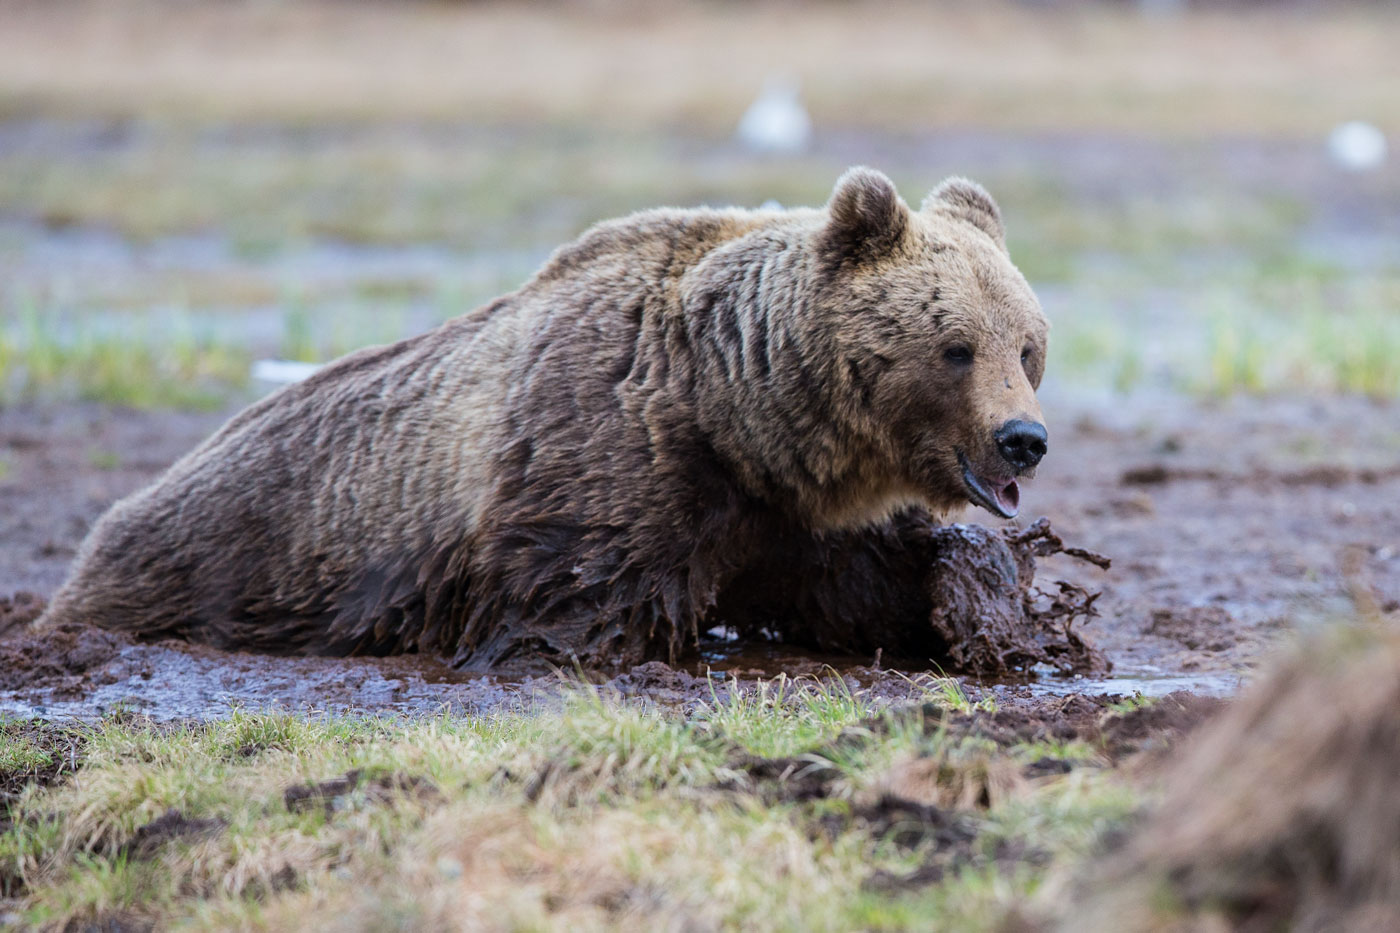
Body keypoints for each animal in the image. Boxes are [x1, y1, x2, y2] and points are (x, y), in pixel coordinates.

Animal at [37, 167, 1050, 671]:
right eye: (957, 345)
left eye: (1029, 346)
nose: (1025, 439)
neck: (735, 412)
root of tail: (100, 533)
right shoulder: (606, 467)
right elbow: (576, 611)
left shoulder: (795, 518)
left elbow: (866, 583)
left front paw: (979, 609)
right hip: (222, 562)